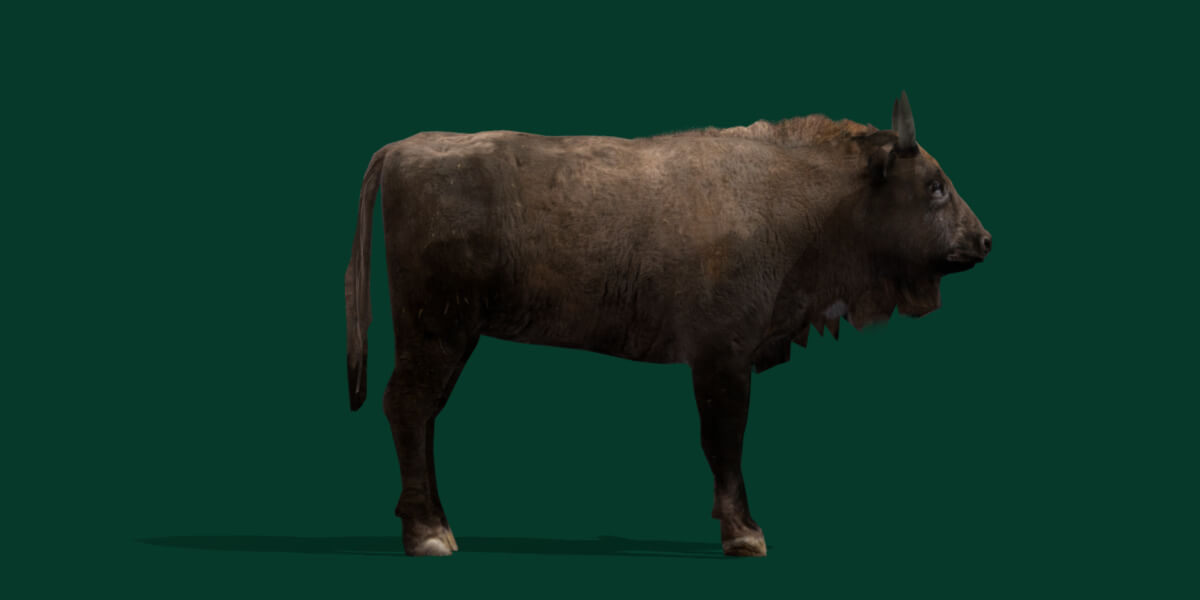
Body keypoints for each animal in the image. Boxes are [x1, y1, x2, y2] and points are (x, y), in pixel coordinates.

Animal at [344, 93, 991, 557]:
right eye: (934, 185)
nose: (984, 240)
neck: (799, 197)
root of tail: (404, 147)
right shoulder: (722, 357)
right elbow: (724, 439)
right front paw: (745, 535)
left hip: (452, 337)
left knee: (423, 413)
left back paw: (434, 525)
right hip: (439, 332)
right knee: (408, 406)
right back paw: (429, 536)